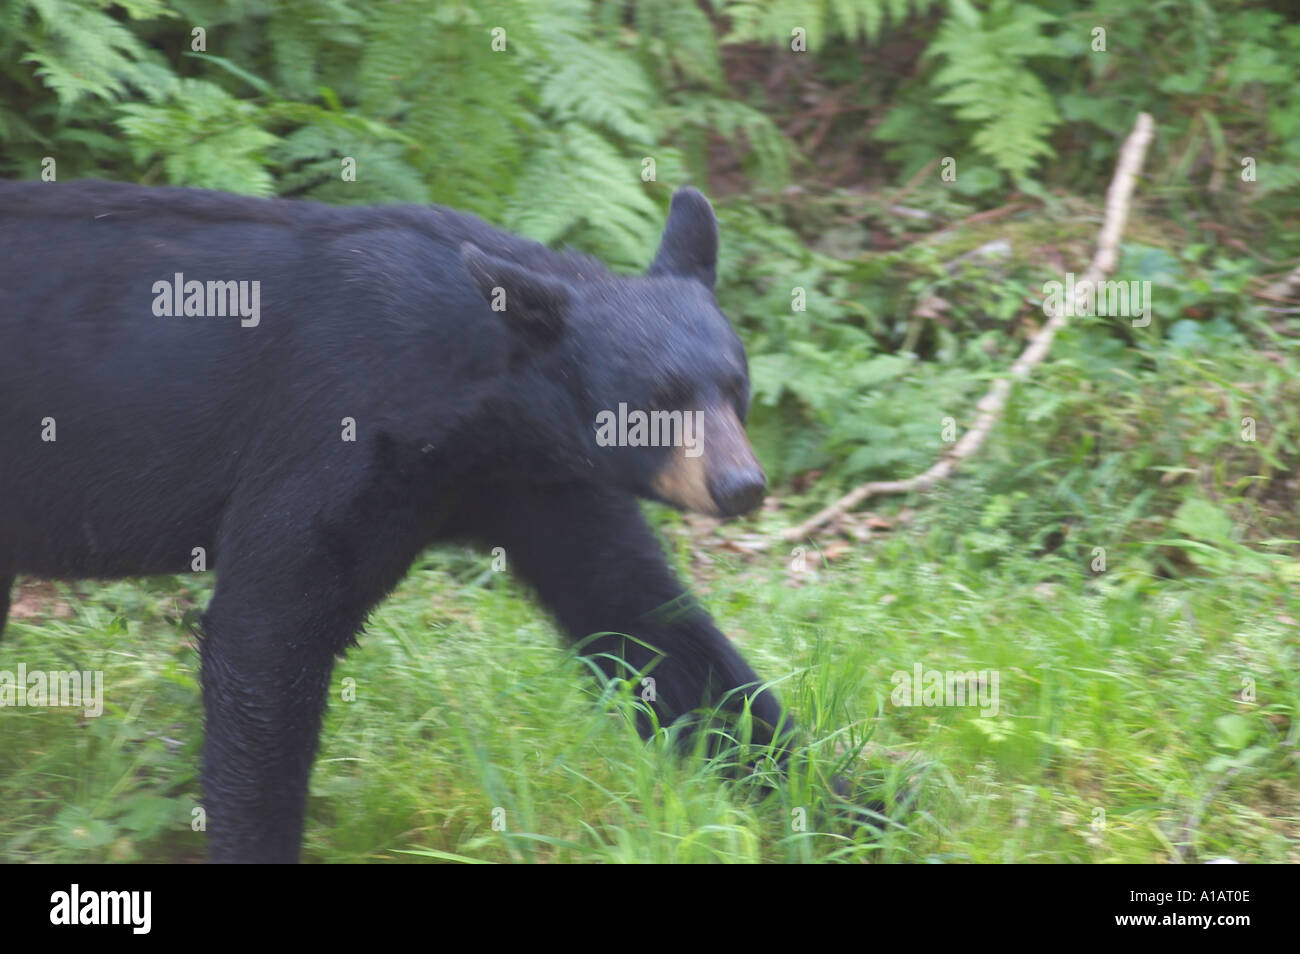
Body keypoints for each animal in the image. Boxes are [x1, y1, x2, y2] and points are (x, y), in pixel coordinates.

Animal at [0, 179, 791, 862]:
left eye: (734, 386)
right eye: (657, 401)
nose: (740, 486)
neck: (481, 403)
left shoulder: (534, 483)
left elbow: (645, 620)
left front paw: (809, 795)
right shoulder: (335, 425)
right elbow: (266, 626)